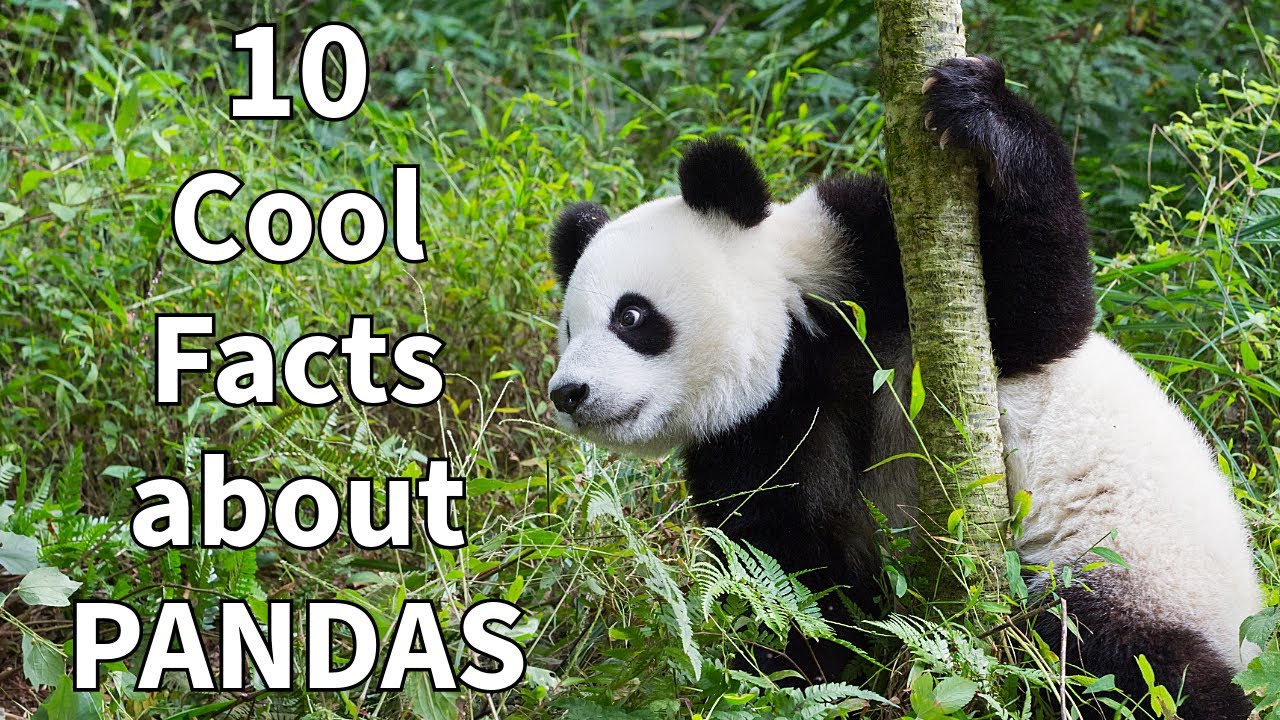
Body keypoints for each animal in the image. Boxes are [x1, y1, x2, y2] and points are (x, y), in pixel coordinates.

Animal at [545, 56, 1261, 719]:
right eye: (569, 327)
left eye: (631, 317)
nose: (568, 393)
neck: (794, 352)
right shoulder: (760, 438)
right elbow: (798, 578)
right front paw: (797, 676)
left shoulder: (861, 262)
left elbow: (1040, 318)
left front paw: (981, 108)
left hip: (1127, 567)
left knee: (1121, 660)